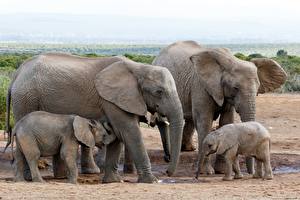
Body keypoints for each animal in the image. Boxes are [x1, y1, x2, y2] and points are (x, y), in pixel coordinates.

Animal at [6, 52, 185, 183]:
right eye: (159, 92)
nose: (167, 172)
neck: (138, 68)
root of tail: (17, 73)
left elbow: (117, 135)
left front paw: (113, 181)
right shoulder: (111, 99)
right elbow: (129, 132)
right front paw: (151, 181)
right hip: (26, 99)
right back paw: (31, 178)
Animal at [154, 40, 288, 173]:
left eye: (257, 89)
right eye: (235, 88)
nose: (251, 173)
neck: (230, 61)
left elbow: (226, 120)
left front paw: (222, 171)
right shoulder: (200, 85)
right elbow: (205, 121)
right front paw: (206, 172)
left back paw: (188, 149)